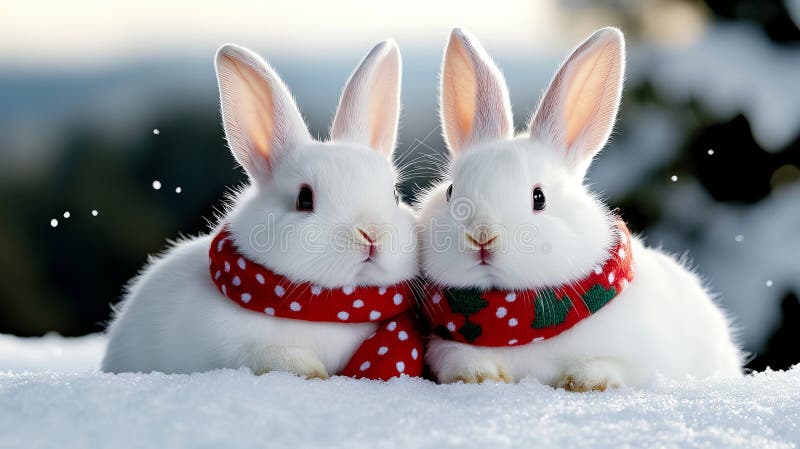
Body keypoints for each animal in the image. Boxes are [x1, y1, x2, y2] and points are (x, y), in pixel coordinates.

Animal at [102, 40, 419, 378]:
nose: (371, 234)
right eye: (304, 199)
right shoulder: (236, 351)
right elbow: (274, 357)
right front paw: (313, 371)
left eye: (395, 195)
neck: (327, 308)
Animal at [416, 27, 742, 390]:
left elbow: (616, 367)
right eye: (450, 192)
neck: (515, 317)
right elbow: (460, 363)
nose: (482, 237)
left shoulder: (643, 358)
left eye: (539, 198)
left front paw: (583, 382)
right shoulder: (444, 348)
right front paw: (480, 376)